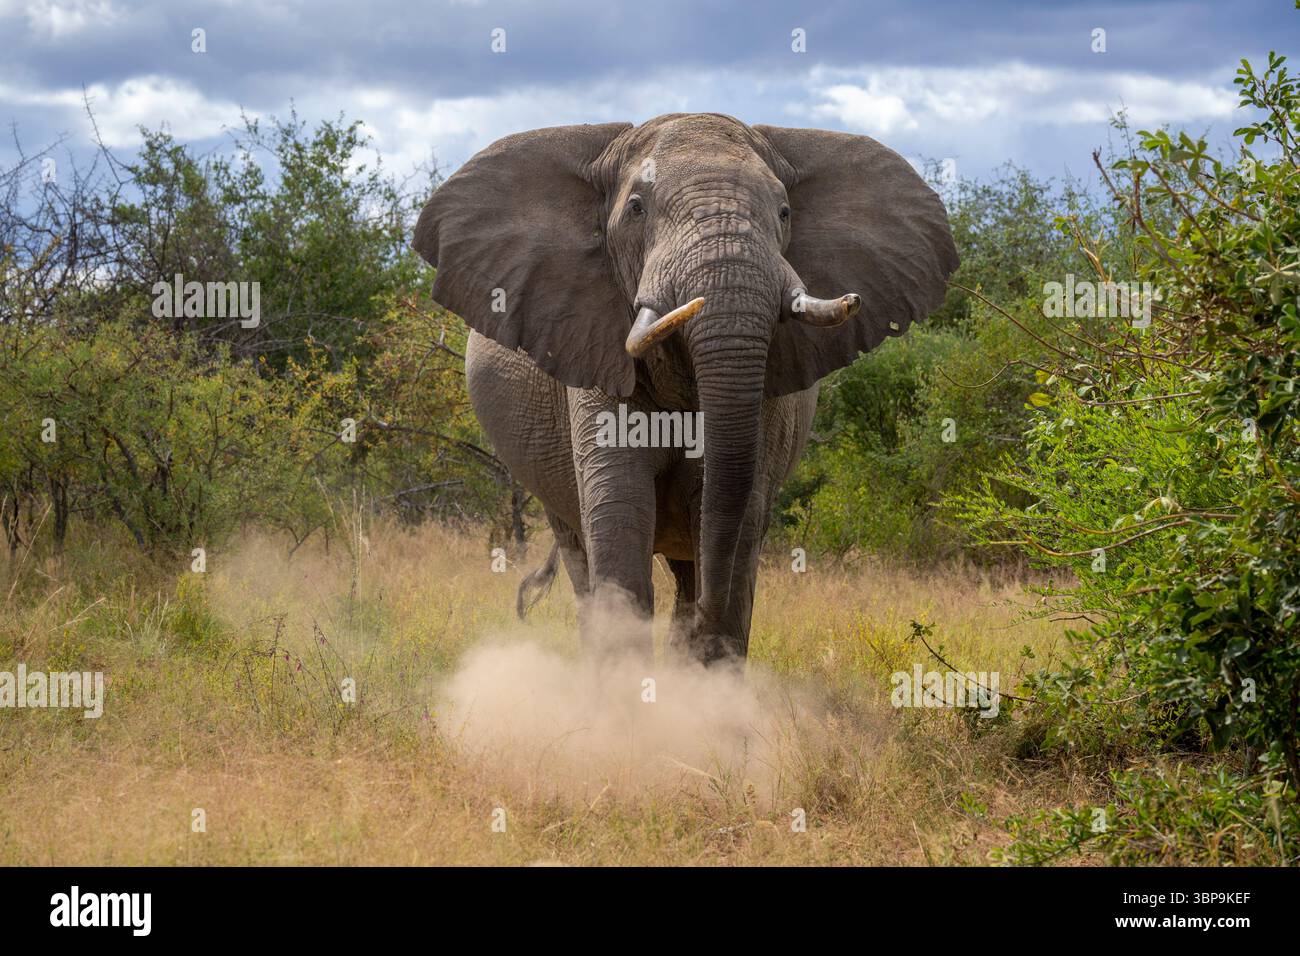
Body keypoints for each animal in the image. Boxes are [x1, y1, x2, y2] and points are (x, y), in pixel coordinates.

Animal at [413, 113, 957, 665]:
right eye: (636, 209)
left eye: (784, 212)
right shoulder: (592, 342)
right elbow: (618, 522)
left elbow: (734, 523)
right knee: (583, 554)